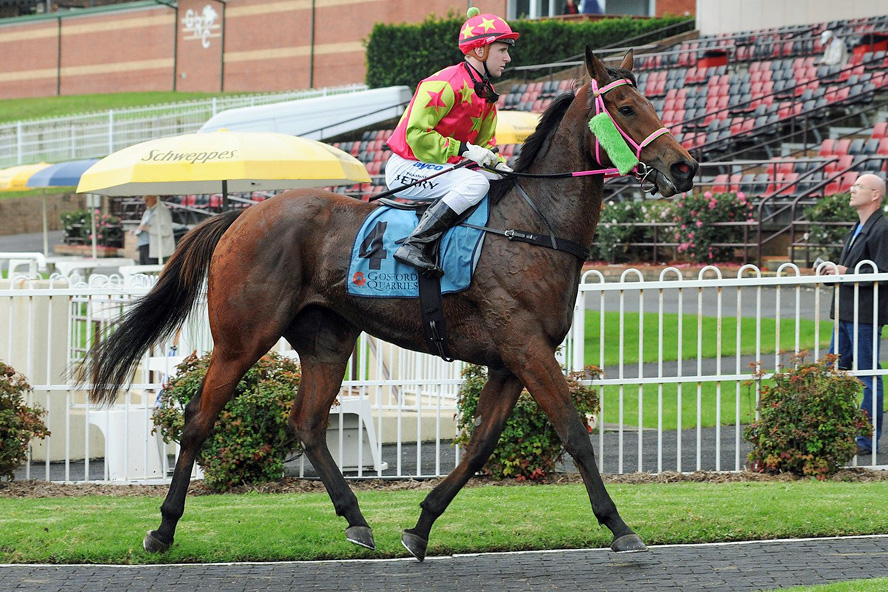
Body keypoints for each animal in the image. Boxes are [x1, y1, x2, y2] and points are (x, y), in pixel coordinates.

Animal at [84, 47, 697, 561]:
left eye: (651, 102)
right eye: (626, 107)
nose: (684, 167)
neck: (532, 224)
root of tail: (243, 215)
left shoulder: (509, 360)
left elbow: (479, 447)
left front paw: (420, 525)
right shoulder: (526, 347)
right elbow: (573, 433)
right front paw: (620, 527)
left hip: (328, 341)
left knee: (306, 423)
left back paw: (356, 520)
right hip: (241, 338)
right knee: (197, 418)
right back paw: (163, 528)